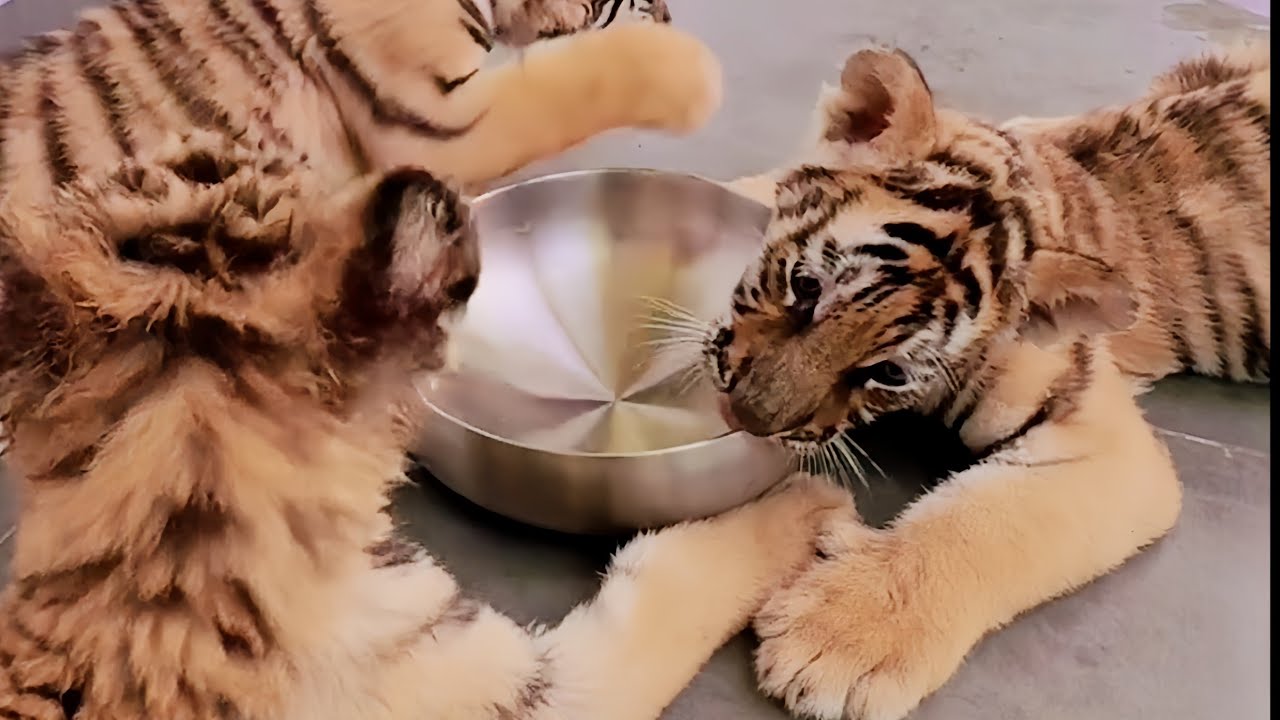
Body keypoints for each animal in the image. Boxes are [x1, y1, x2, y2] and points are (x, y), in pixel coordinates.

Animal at [707, 44, 1269, 720]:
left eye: (889, 371)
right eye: (806, 286)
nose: (746, 418)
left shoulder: (1107, 444)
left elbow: (981, 524)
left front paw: (834, 640)